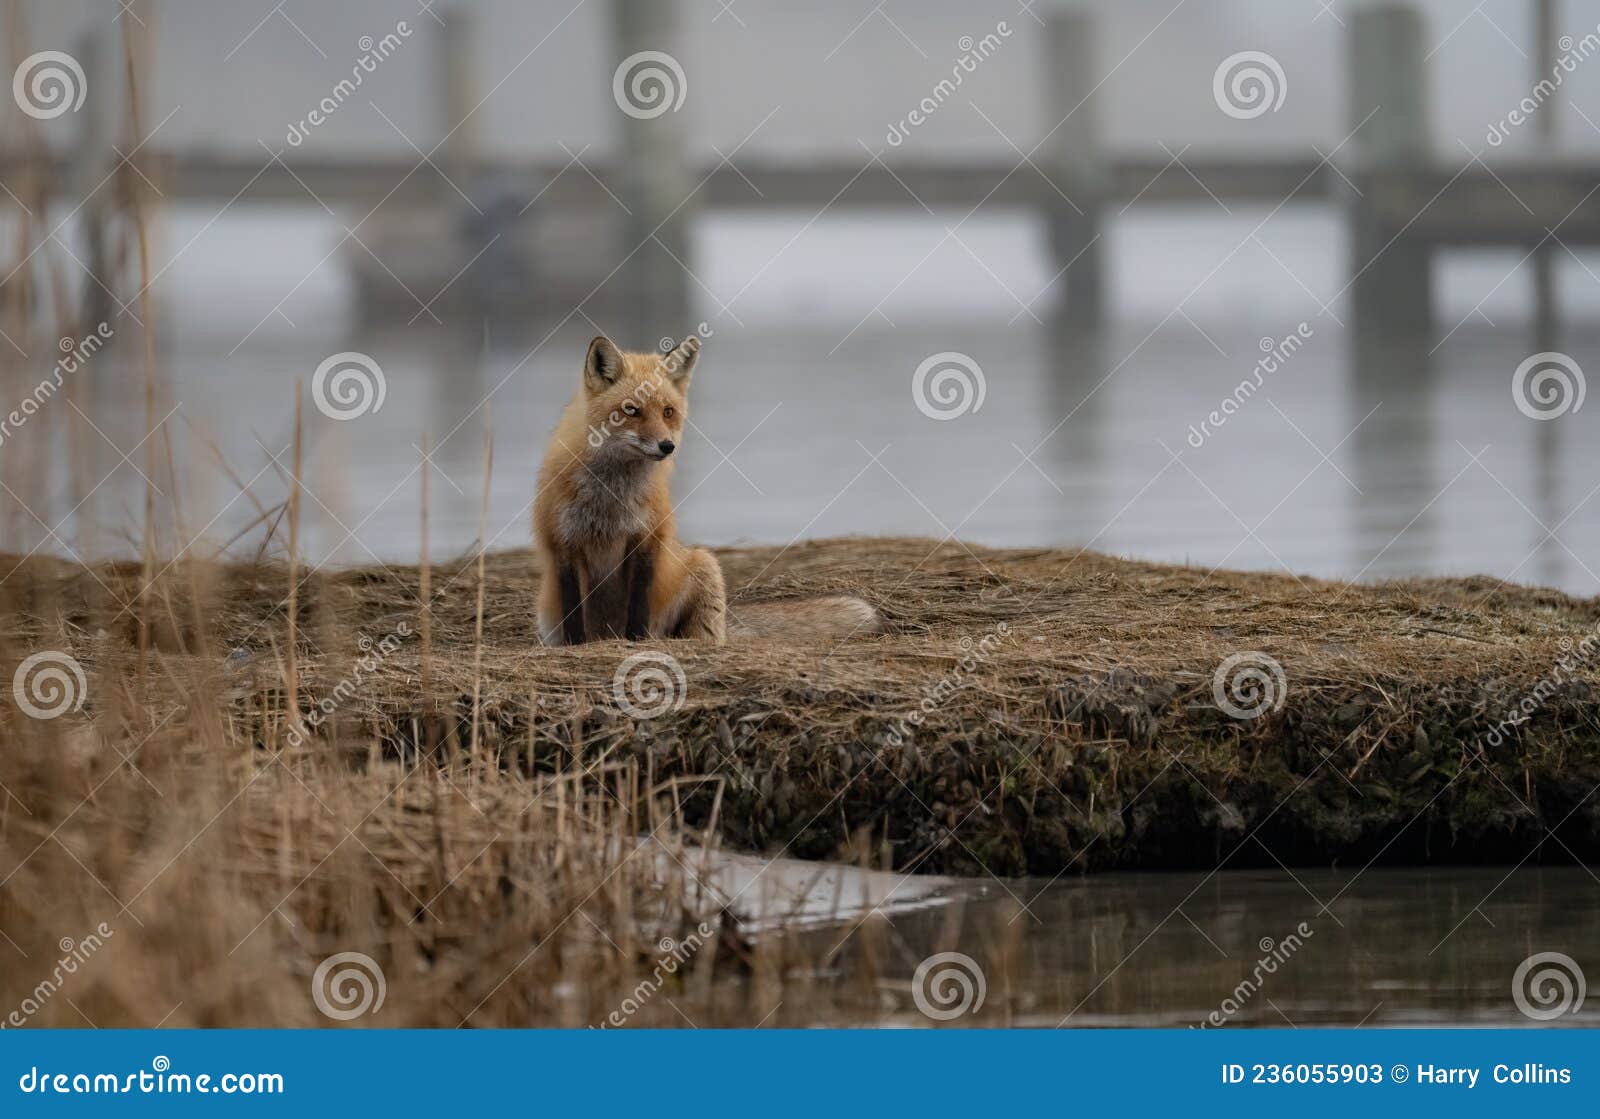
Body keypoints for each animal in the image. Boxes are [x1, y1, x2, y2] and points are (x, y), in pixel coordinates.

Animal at [533, 334, 880, 645]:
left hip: (704, 566)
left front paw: (636, 643)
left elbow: (639, 608)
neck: (609, 497)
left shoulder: (648, 539)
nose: (667, 446)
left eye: (668, 412)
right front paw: (577, 646)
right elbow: (573, 614)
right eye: (631, 410)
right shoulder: (563, 544)